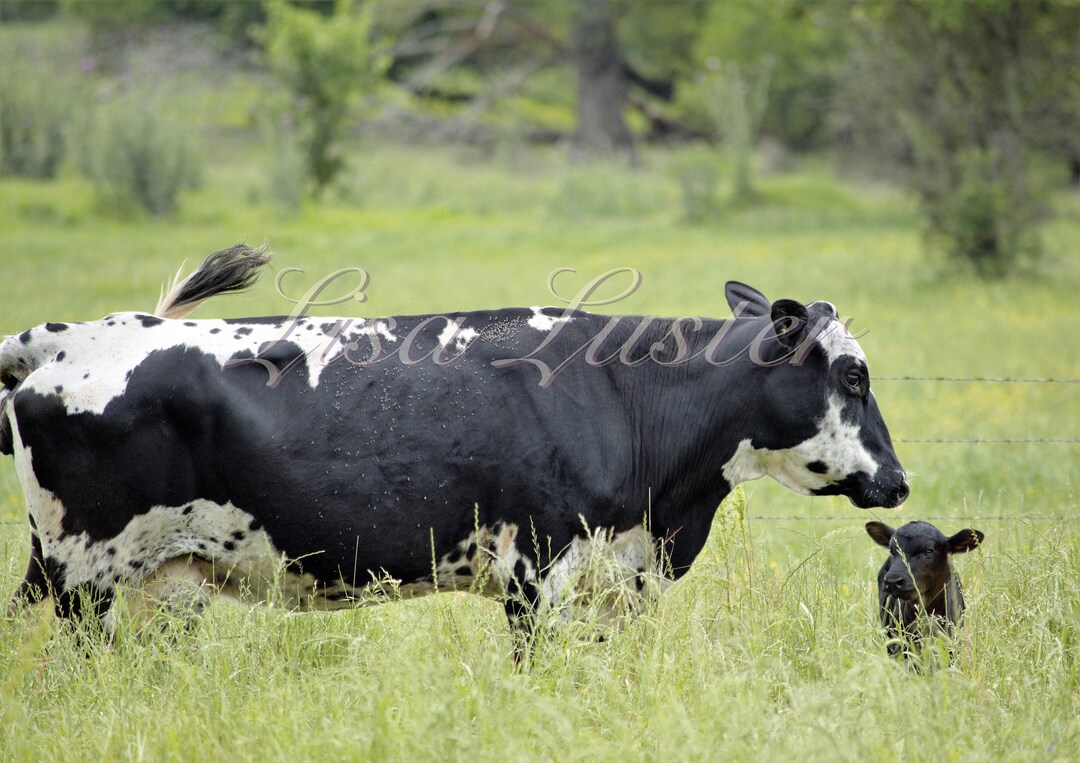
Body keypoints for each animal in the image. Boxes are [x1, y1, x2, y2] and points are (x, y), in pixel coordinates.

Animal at [1, 244, 908, 645]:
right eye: (854, 374)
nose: (899, 481)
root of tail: (76, 336)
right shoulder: (536, 573)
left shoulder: (615, 581)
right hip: (80, 573)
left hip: (150, 580)